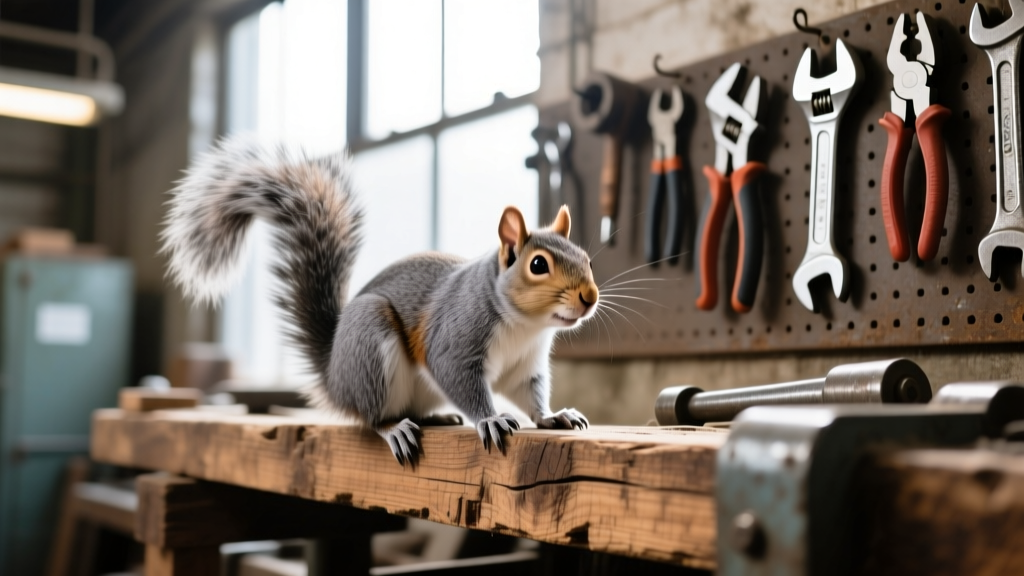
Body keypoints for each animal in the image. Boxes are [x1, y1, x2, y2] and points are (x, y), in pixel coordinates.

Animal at [160, 136, 599, 466]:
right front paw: (490, 419)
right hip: (371, 346)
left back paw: (437, 417)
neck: (526, 326)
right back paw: (395, 428)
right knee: (373, 416)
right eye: (538, 264)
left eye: (587, 258)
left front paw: (554, 416)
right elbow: (461, 378)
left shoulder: (525, 366)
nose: (590, 297)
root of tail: (334, 378)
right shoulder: (457, 339)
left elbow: (530, 393)